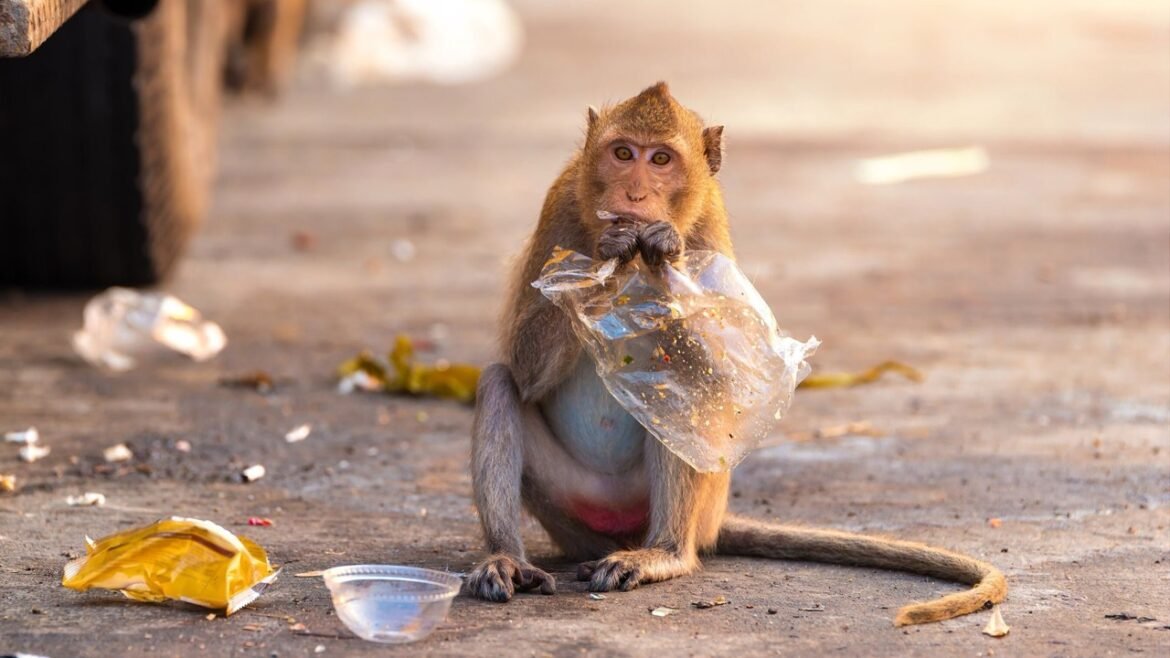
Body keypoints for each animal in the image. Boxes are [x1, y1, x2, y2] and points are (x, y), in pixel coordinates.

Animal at [467, 82, 1006, 626]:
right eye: (622, 154)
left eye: (660, 159)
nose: (635, 195)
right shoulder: (557, 205)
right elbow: (524, 369)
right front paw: (608, 250)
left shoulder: (709, 224)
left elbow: (723, 376)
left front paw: (663, 258)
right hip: (572, 511)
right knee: (499, 383)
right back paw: (507, 559)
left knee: (680, 399)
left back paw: (664, 555)